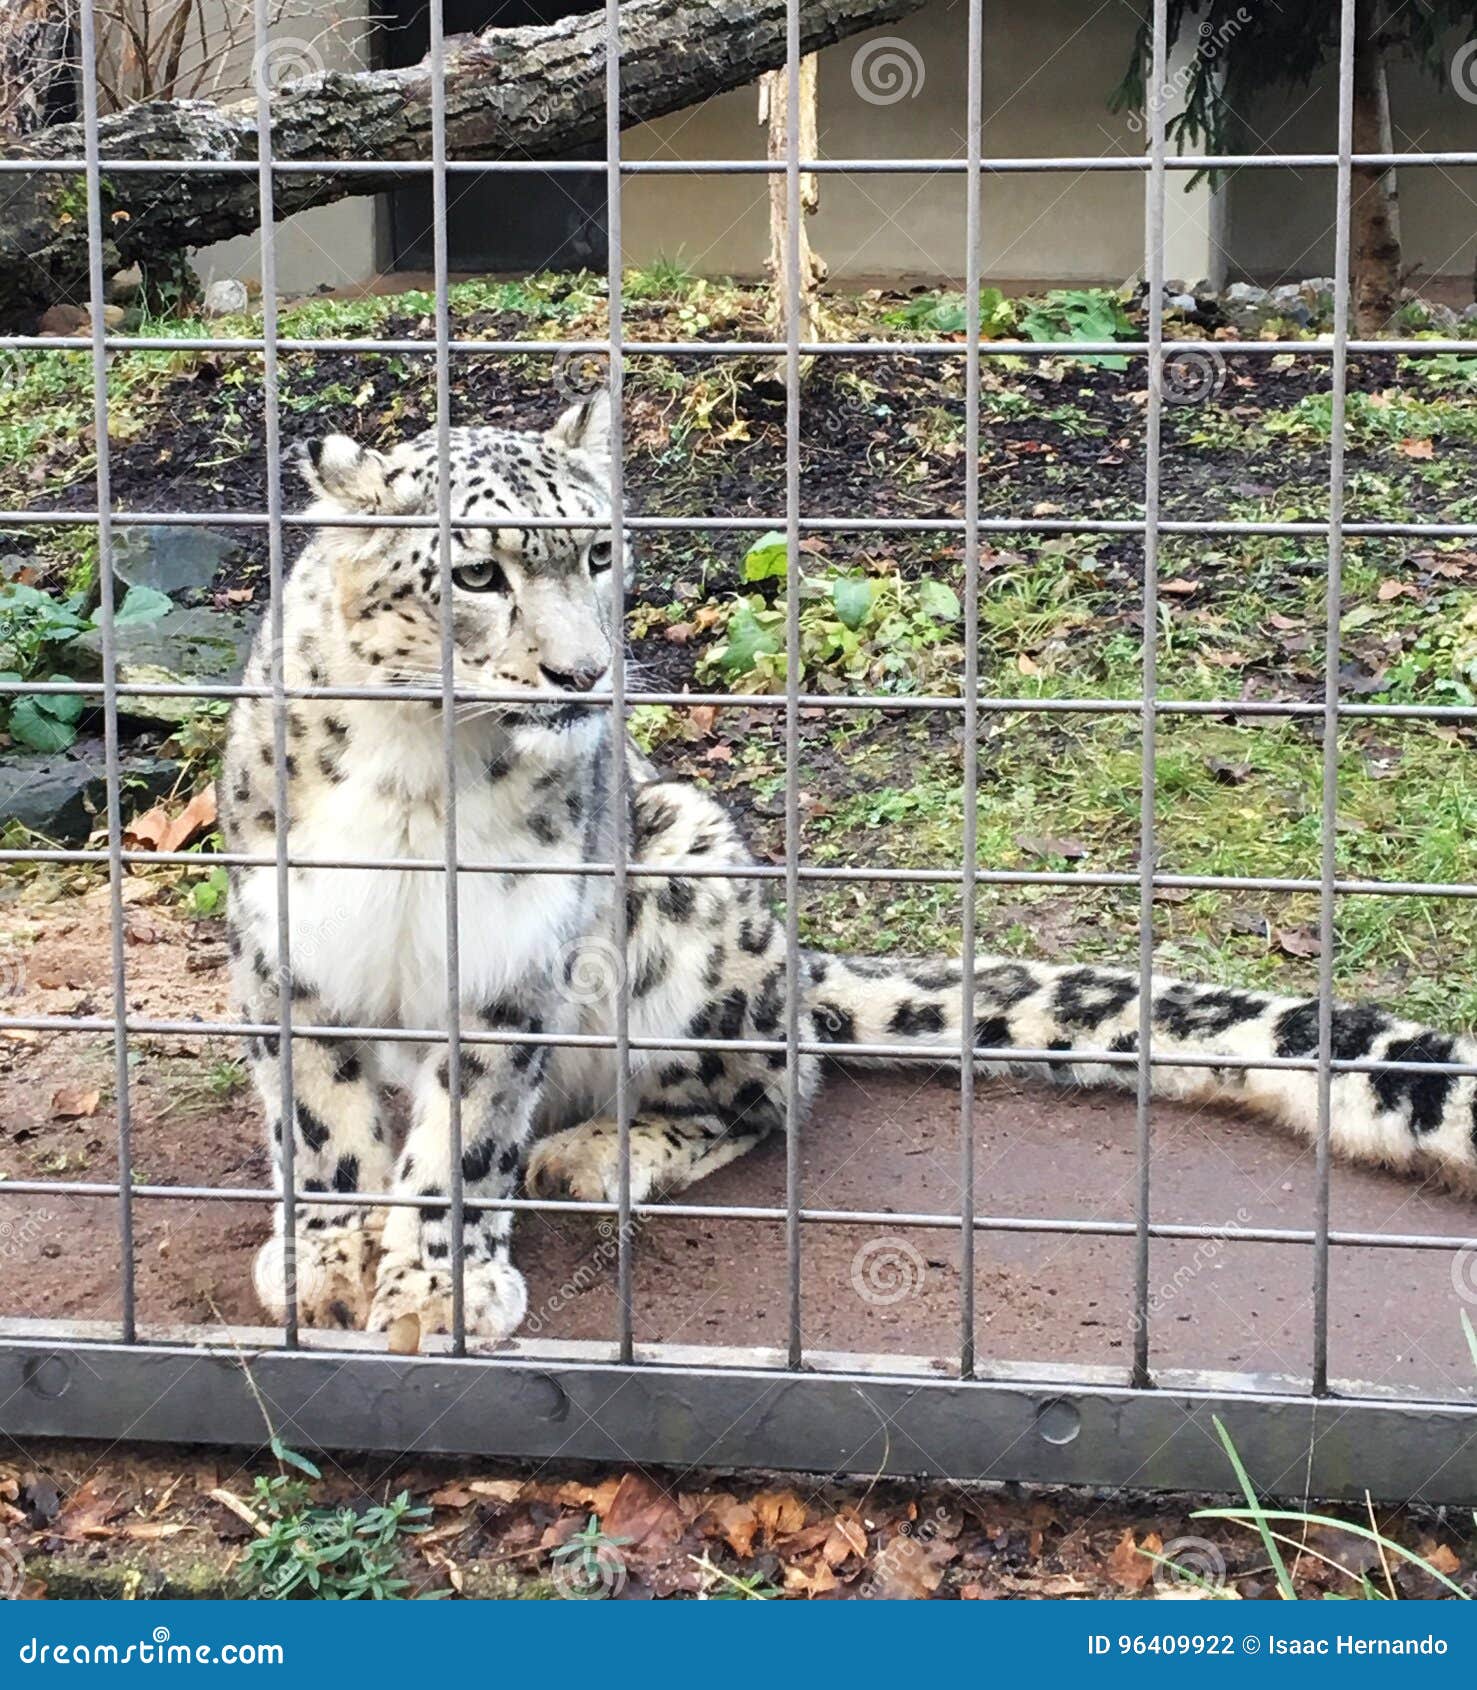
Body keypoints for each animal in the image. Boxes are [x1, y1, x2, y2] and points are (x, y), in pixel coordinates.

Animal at [220, 388, 1477, 1348]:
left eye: (599, 552)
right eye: (478, 574)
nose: (584, 674)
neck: (418, 773)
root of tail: (796, 960)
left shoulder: (508, 960)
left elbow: (467, 1141)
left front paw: (441, 1289)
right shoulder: (291, 945)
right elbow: (321, 1125)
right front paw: (324, 1266)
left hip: (689, 893)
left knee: (772, 1090)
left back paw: (595, 1152)